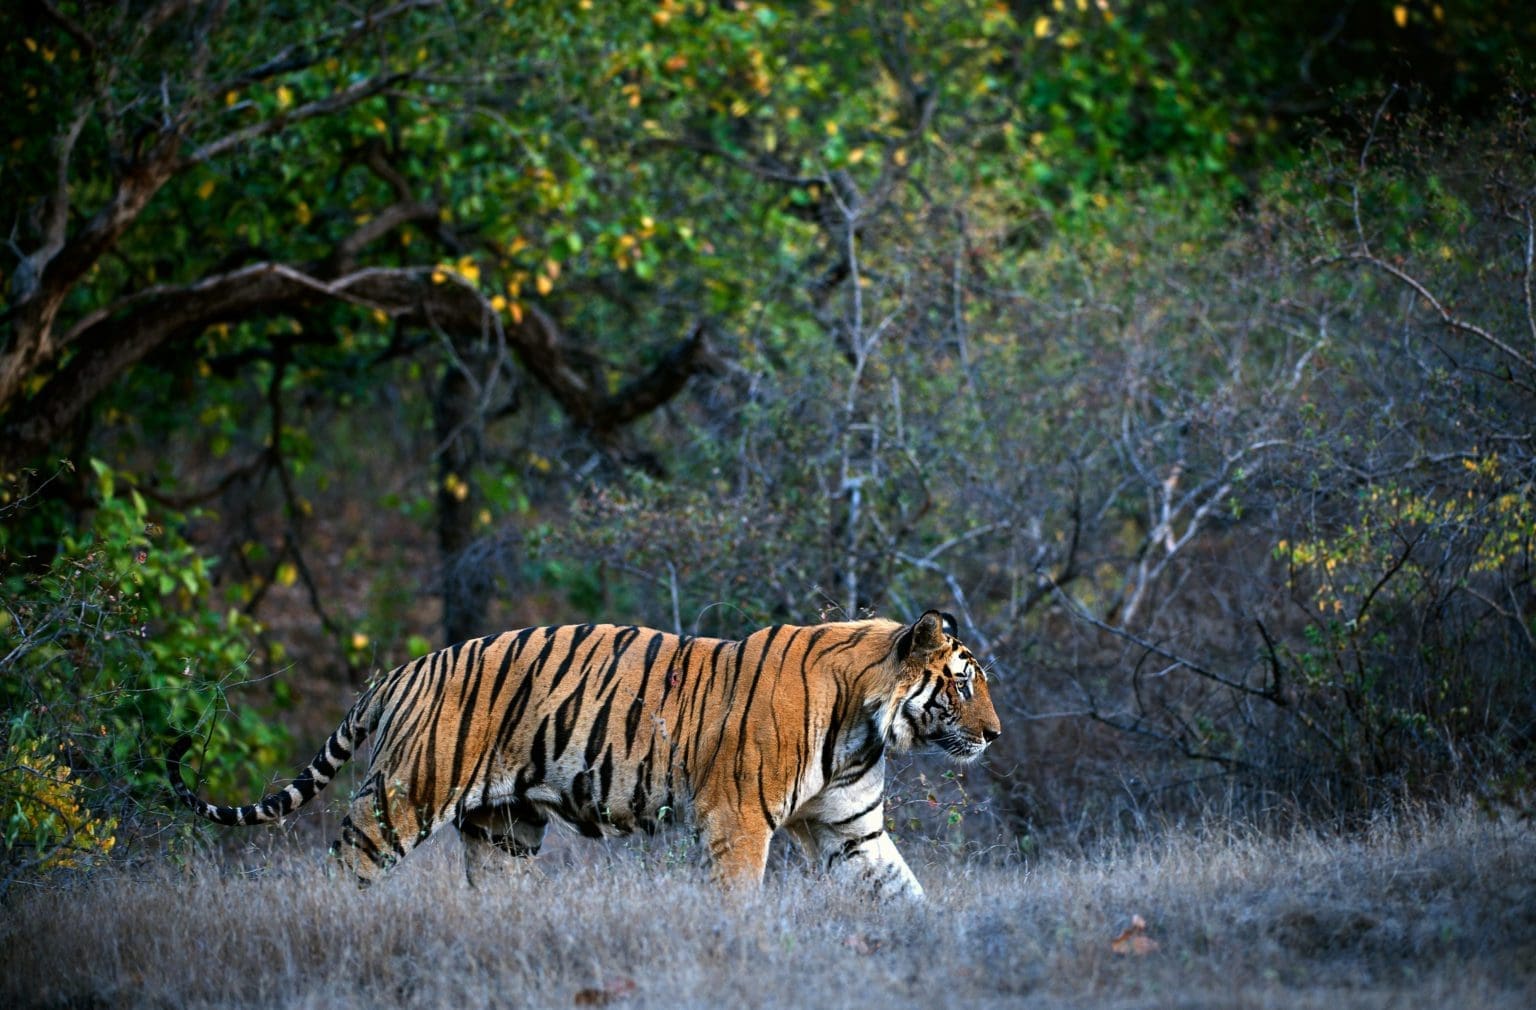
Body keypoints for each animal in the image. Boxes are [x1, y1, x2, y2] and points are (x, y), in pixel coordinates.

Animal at [167, 610, 1000, 899]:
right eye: (963, 683)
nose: (995, 734)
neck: (865, 726)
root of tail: (403, 669)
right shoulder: (736, 821)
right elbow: (738, 904)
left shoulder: (851, 831)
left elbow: (906, 896)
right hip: (407, 795)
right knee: (345, 867)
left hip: (504, 829)